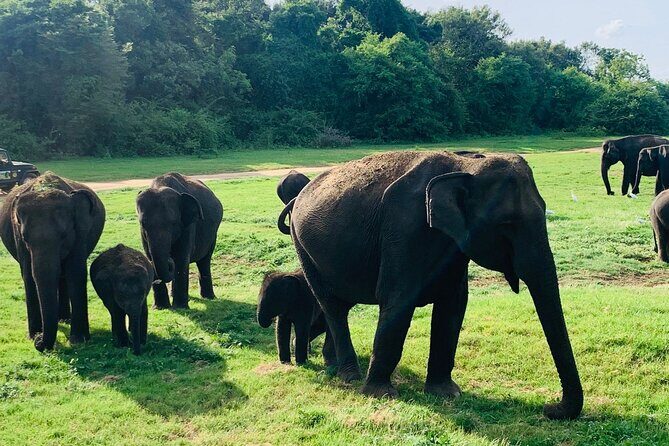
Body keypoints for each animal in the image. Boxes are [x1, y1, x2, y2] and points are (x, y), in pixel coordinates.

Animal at [0, 172, 105, 351]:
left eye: (64, 235)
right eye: (25, 238)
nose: (39, 342)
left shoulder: (80, 232)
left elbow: (75, 273)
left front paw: (79, 340)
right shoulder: (18, 237)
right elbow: (28, 276)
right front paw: (33, 336)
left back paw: (64, 320)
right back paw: (61, 320)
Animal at [136, 172, 223, 309]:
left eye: (173, 223)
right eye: (143, 223)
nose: (169, 260)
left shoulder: (188, 225)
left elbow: (181, 258)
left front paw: (180, 307)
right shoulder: (143, 235)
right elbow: (150, 257)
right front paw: (161, 308)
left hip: (213, 234)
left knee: (204, 260)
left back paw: (209, 297)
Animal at [279, 151, 583, 420]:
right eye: (506, 224)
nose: (549, 408)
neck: (466, 165)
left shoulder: (453, 245)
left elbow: (453, 306)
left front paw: (445, 393)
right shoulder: (404, 229)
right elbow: (398, 301)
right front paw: (380, 394)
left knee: (340, 304)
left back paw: (331, 364)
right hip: (302, 246)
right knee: (333, 307)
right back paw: (349, 376)